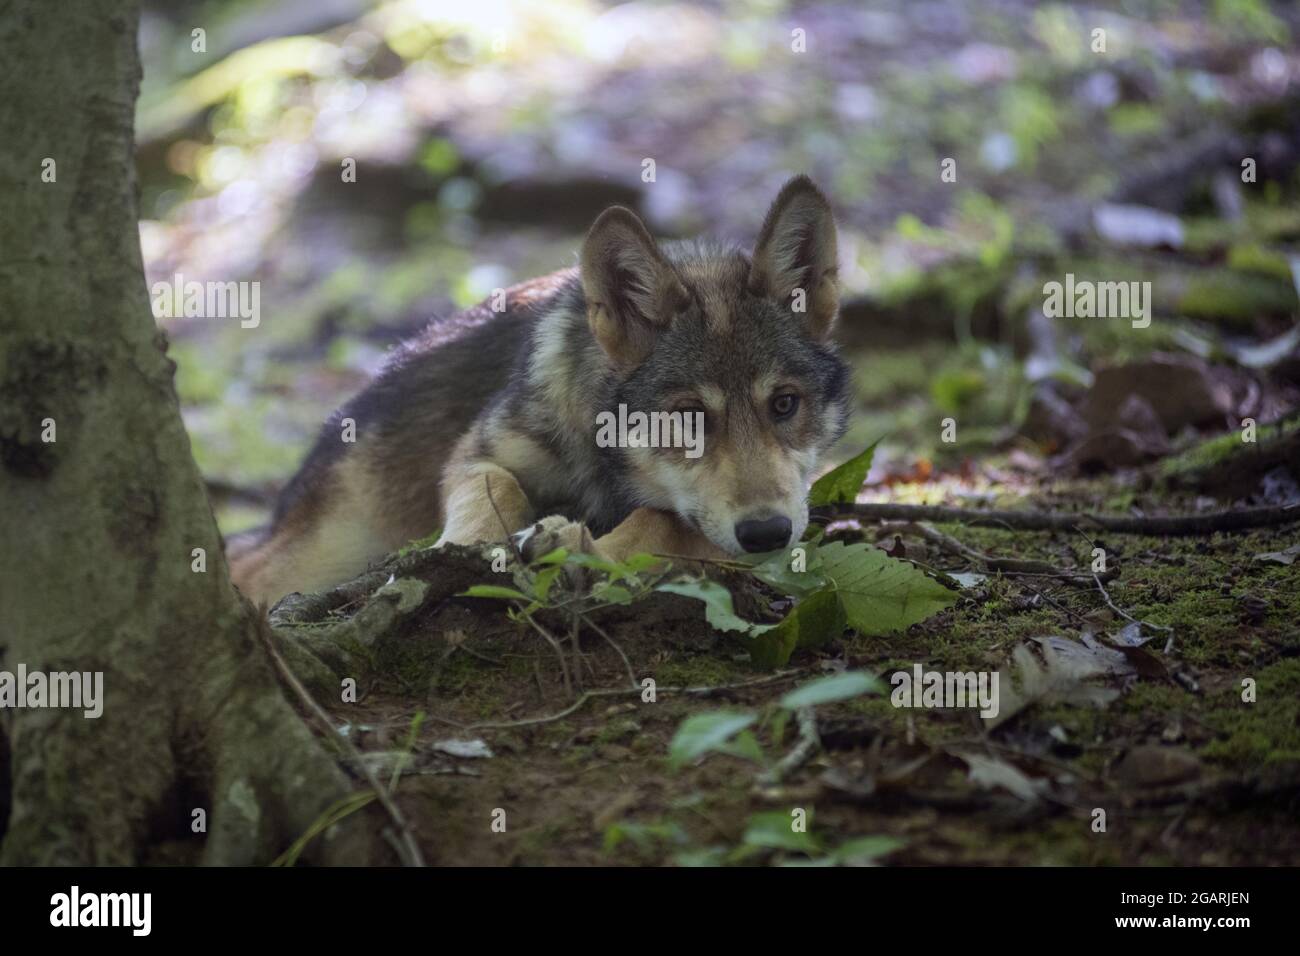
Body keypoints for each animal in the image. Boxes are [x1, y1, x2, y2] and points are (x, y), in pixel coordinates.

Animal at [227, 175, 852, 604]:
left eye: (784, 404)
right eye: (689, 418)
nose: (767, 533)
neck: (604, 466)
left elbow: (662, 519)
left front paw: (579, 551)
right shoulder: (474, 456)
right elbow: (497, 489)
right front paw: (462, 552)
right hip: (321, 552)